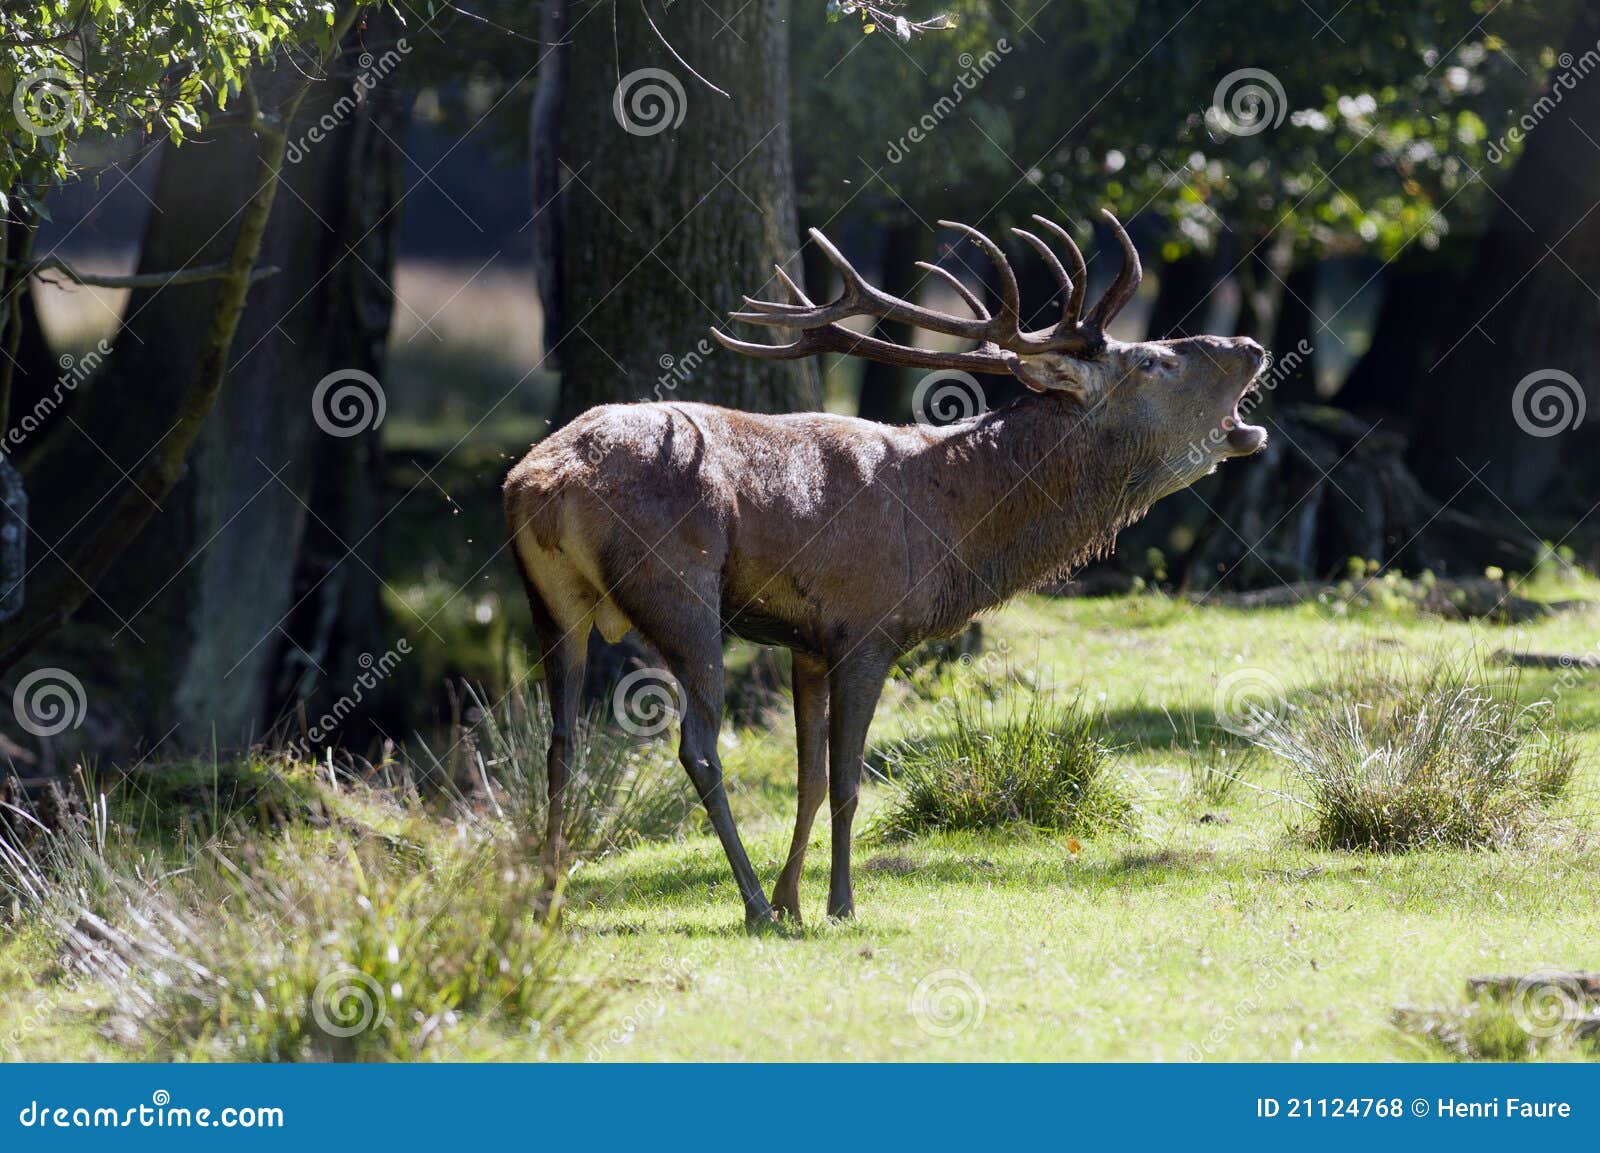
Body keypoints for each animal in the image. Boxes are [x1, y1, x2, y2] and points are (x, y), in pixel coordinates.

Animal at [504, 209, 1268, 927]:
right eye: (1154, 361)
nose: (1251, 347)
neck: (949, 530)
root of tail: (542, 480)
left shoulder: (807, 643)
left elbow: (809, 779)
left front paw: (794, 899)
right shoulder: (866, 627)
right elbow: (848, 781)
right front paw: (836, 903)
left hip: (552, 604)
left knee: (560, 740)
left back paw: (549, 900)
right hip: (681, 591)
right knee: (695, 744)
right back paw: (747, 903)